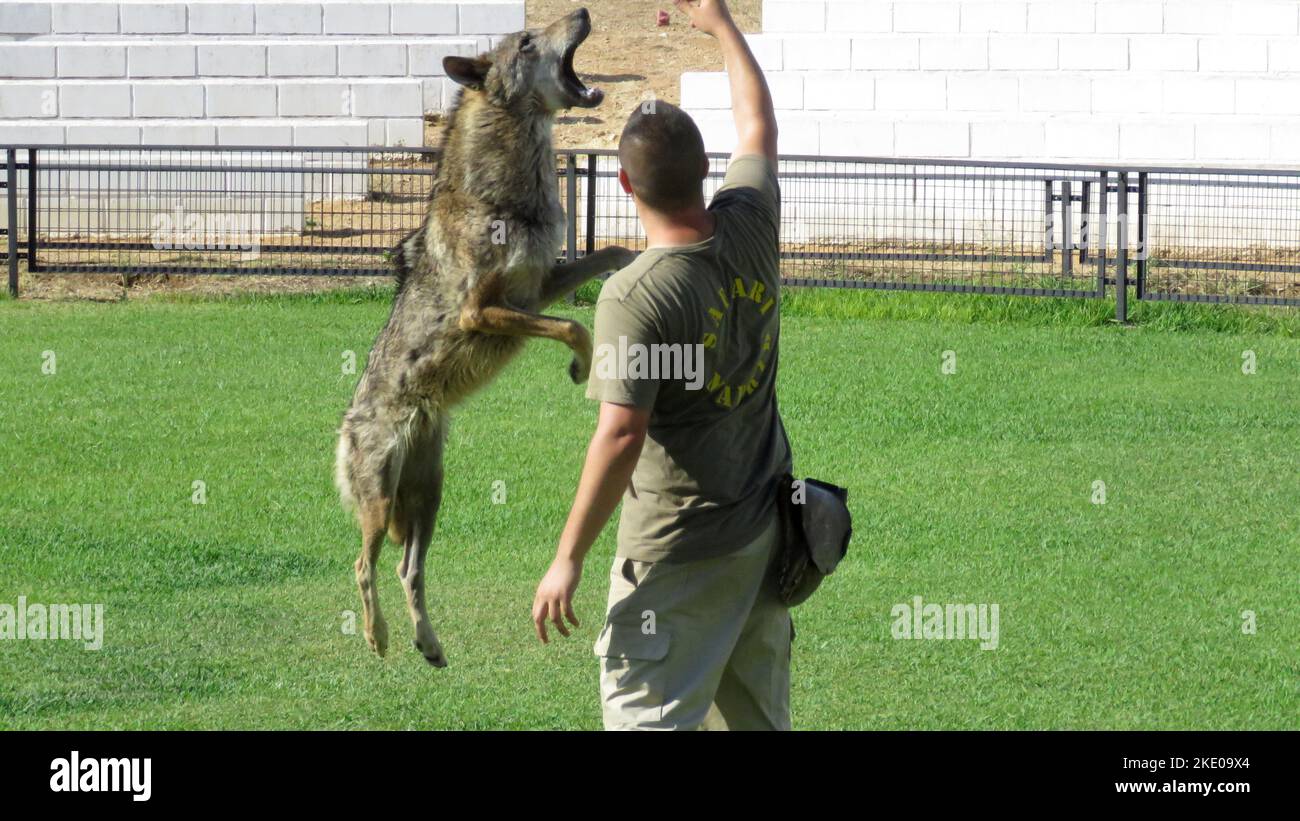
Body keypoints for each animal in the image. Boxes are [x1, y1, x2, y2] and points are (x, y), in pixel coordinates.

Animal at [334, 8, 634, 668]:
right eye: (525, 41)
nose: (583, 11)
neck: (505, 190)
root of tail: (348, 423)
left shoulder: (536, 288)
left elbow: (608, 255)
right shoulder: (483, 311)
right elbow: (571, 325)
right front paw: (580, 368)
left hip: (429, 498)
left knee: (408, 571)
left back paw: (429, 644)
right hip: (379, 499)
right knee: (363, 566)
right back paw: (378, 636)